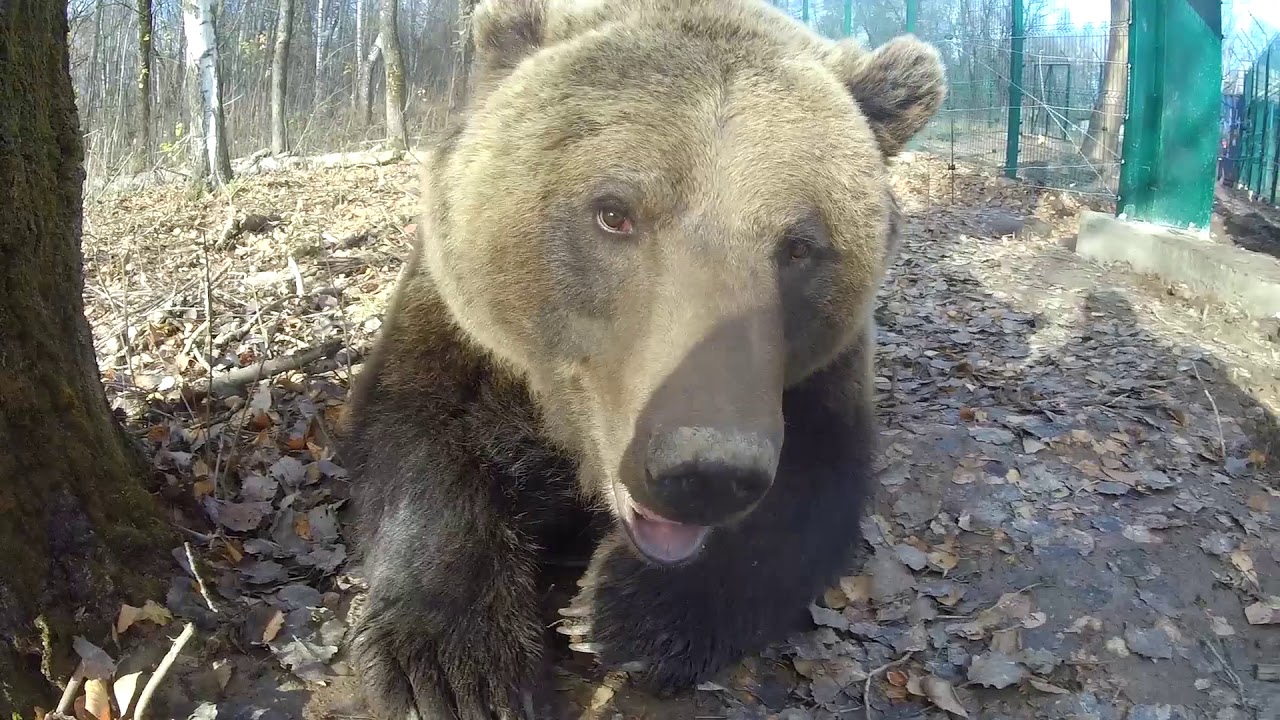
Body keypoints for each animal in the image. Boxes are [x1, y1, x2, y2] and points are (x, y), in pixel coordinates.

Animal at [340, 0, 946, 717]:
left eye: (800, 246)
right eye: (614, 214)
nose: (704, 471)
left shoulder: (822, 373)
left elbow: (814, 482)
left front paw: (620, 612)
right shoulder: (456, 322)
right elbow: (420, 433)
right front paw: (454, 669)